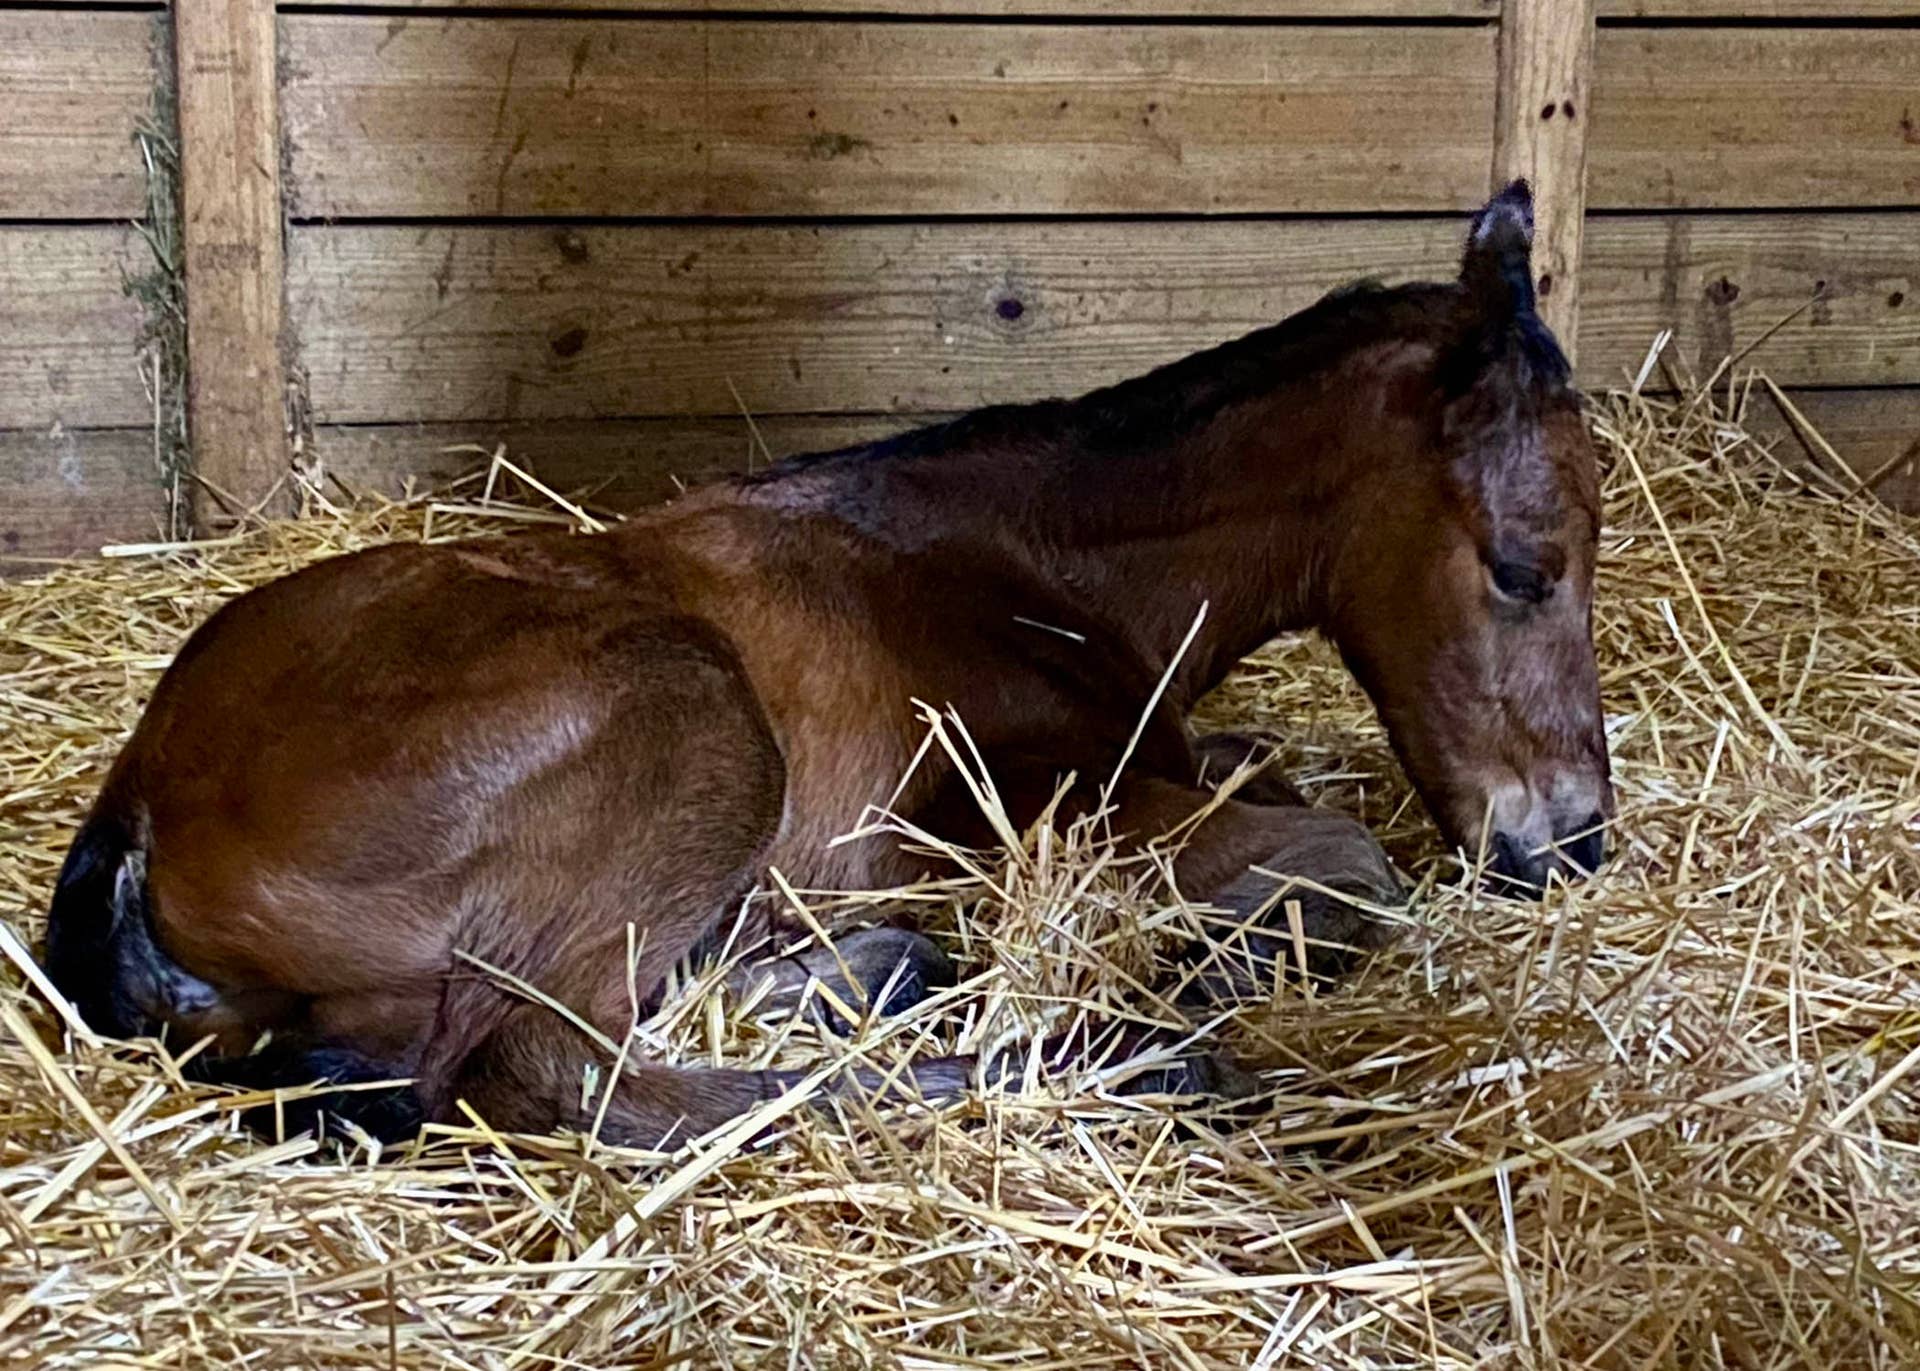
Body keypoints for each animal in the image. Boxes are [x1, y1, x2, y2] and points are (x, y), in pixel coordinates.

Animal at [44, 182, 1611, 1148]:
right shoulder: (1035, 811)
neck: (1031, 566)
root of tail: (141, 795)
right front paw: (1198, 970)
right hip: (693, 714)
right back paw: (1129, 1054)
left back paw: (892, 965)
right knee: (554, 1069)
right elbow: (1349, 857)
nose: (1574, 842)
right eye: (1523, 565)